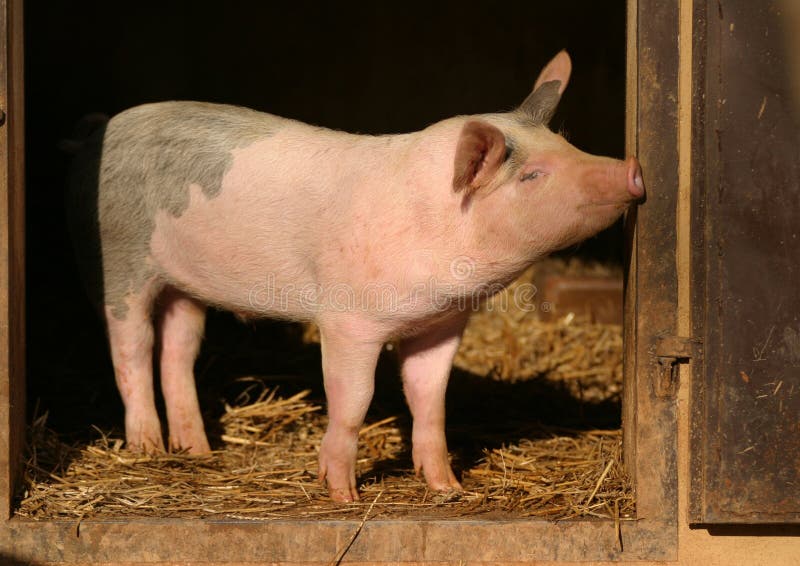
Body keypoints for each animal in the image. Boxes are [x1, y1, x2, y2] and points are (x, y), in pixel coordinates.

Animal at [67, 50, 644, 502]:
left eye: (568, 145)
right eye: (531, 175)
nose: (633, 169)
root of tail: (97, 130)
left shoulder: (441, 324)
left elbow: (430, 399)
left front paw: (448, 487)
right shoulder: (349, 320)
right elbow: (354, 399)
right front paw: (343, 495)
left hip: (185, 286)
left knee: (178, 351)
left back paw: (198, 451)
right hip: (118, 263)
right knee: (131, 349)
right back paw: (146, 449)